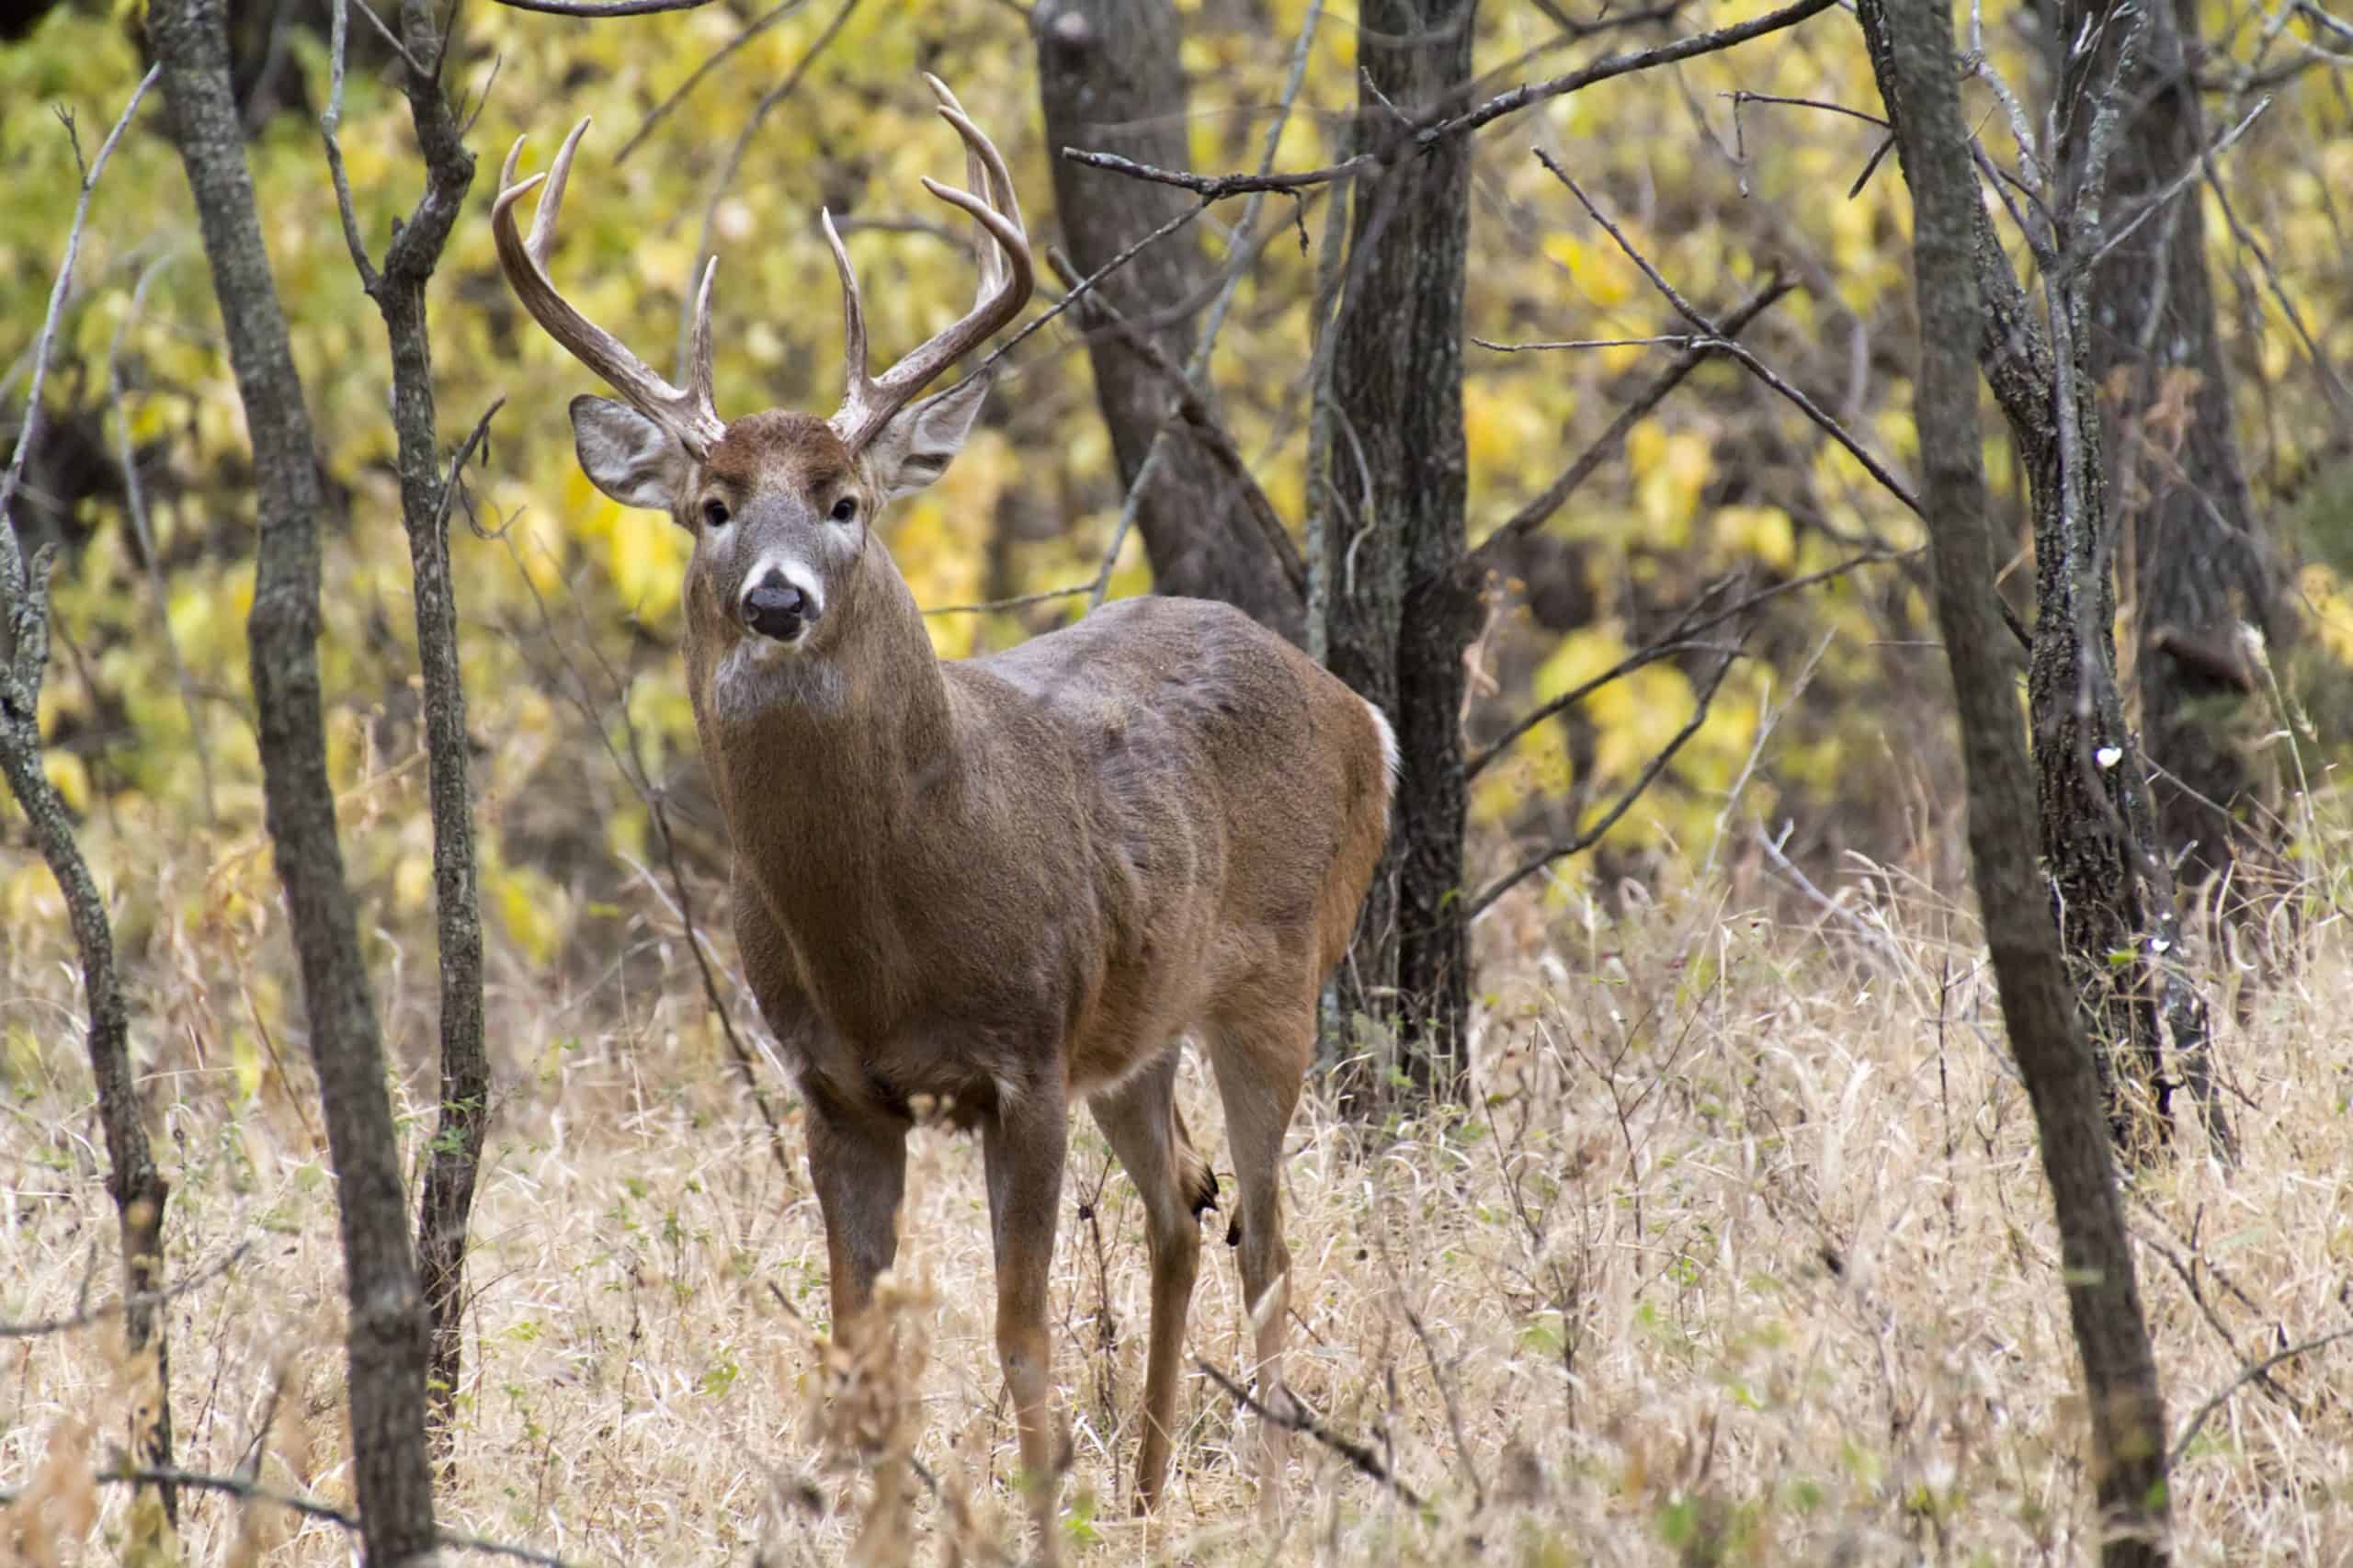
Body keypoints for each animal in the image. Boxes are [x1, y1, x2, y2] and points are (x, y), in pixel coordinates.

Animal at [490, 78, 1394, 1548]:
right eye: (711, 506)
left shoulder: (1021, 1057)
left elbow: (1021, 1337)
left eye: (847, 502)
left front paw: (1040, 1528)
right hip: (1132, 1029)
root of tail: (1360, 713)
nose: (778, 598)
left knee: (1267, 1232)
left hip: (1277, 982)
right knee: (1182, 1207)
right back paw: (1150, 1492)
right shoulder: (838, 1088)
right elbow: (860, 1357)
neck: (884, 932)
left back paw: (1261, 1498)